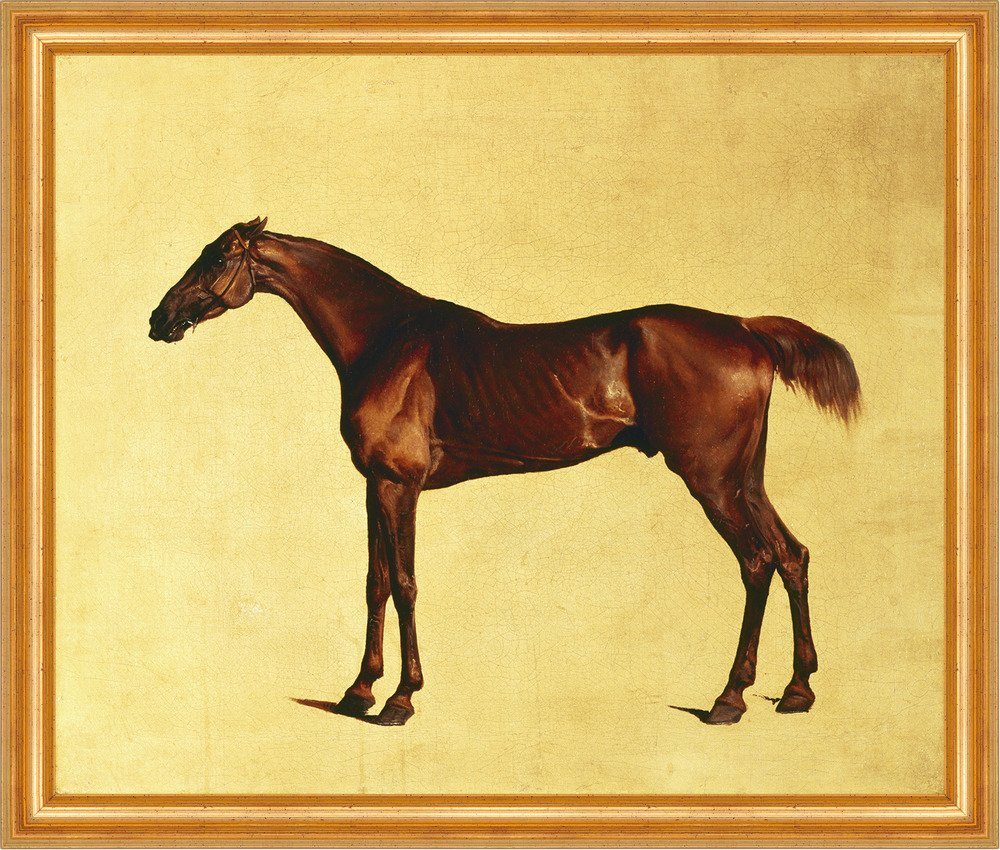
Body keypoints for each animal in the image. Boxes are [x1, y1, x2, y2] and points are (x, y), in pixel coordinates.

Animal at [149, 217, 860, 727]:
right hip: (745, 480)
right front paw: (358, 691)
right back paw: (796, 691)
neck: (386, 340)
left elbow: (403, 584)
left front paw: (400, 699)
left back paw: (729, 699)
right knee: (791, 555)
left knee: (757, 562)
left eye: (217, 258)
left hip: (712, 482)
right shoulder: (374, 484)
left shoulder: (398, 483)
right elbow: (375, 582)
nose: (160, 319)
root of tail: (747, 329)